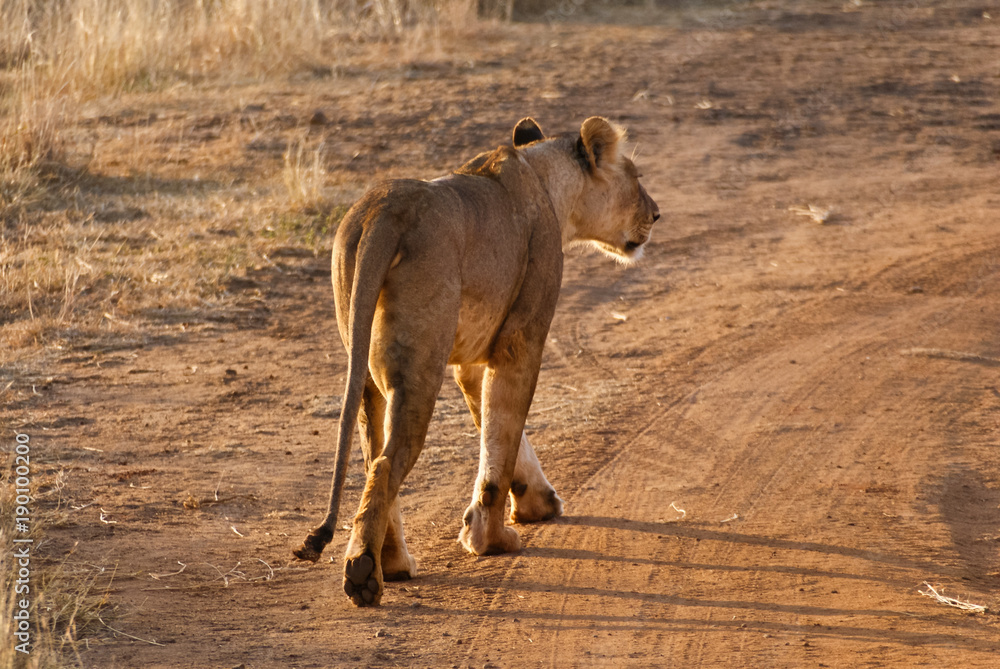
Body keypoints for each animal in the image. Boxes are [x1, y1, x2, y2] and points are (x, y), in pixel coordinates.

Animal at [293, 116, 660, 606]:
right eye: (636, 177)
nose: (656, 214)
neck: (547, 182)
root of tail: (381, 211)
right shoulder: (521, 339)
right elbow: (502, 436)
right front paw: (491, 540)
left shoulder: (471, 360)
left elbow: (497, 432)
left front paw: (535, 502)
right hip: (419, 367)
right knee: (387, 463)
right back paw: (365, 573)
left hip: (366, 358)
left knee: (373, 454)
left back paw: (394, 563)